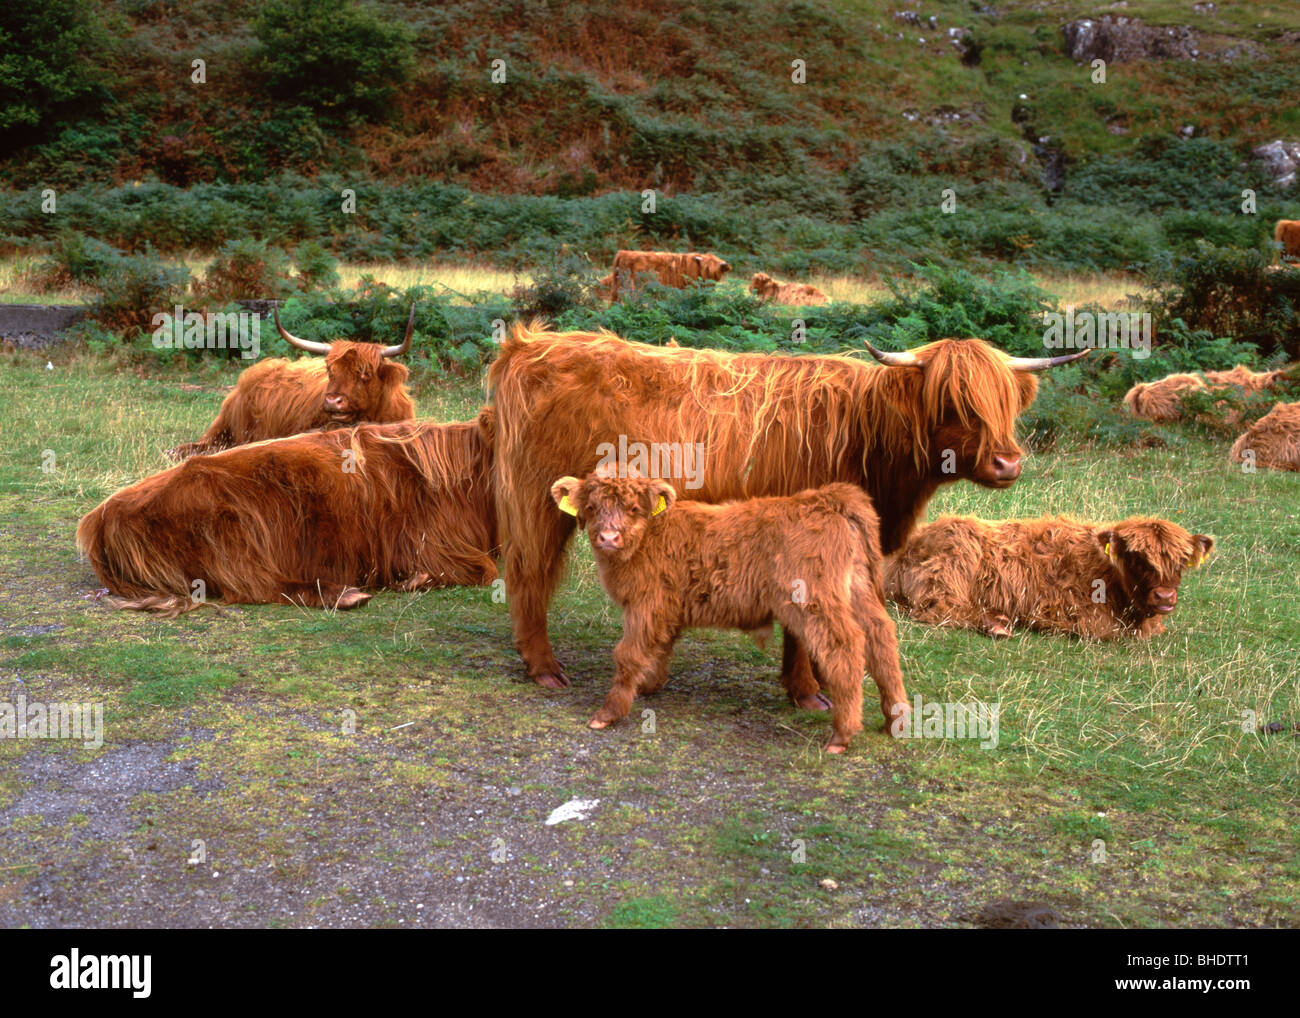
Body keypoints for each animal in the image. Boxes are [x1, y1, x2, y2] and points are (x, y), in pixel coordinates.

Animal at [78, 410, 497, 615]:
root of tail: (98, 516)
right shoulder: (431, 545)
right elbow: (483, 570)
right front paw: (412, 580)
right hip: (233, 532)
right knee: (256, 585)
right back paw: (346, 595)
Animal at [486, 320, 1086, 695]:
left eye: (1007, 403)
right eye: (954, 402)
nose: (1007, 463)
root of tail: (531, 344)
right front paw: (805, 691)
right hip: (538, 496)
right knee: (529, 571)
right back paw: (544, 668)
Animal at [550, 470, 907, 751]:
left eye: (633, 508)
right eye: (592, 507)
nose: (608, 537)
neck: (649, 537)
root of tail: (824, 499)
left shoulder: (646, 606)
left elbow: (628, 654)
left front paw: (607, 713)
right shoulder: (667, 611)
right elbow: (659, 649)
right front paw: (649, 684)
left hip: (814, 601)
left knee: (845, 646)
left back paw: (842, 735)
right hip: (857, 589)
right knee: (881, 637)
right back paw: (896, 719)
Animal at [884, 515, 1213, 640]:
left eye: (1181, 563)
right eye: (1137, 559)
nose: (1165, 597)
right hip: (954, 563)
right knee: (938, 609)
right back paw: (997, 625)